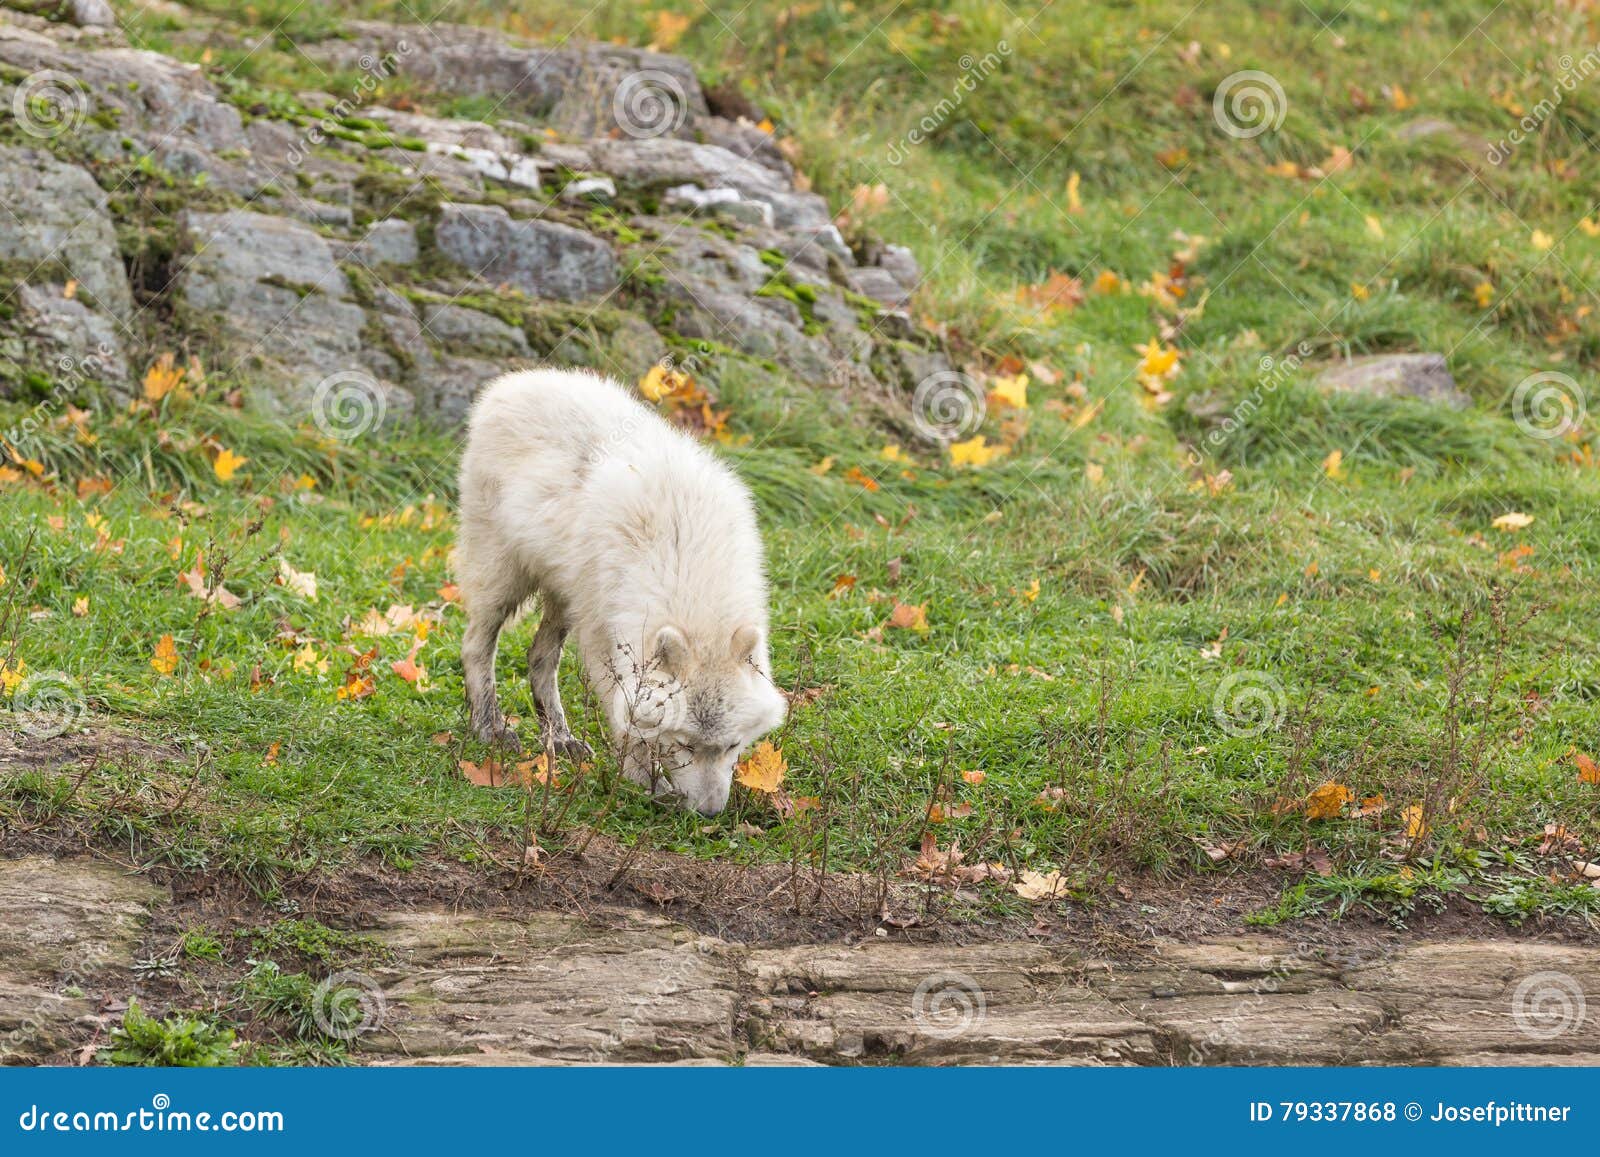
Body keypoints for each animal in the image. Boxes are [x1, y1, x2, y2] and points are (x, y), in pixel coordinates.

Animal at [454, 368, 787, 816]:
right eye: (684, 745)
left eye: (732, 746)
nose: (710, 812)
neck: (682, 551)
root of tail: (513, 382)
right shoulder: (602, 632)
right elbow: (626, 715)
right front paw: (646, 782)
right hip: (504, 580)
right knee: (476, 645)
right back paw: (489, 727)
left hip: (565, 599)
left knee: (538, 658)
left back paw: (559, 738)